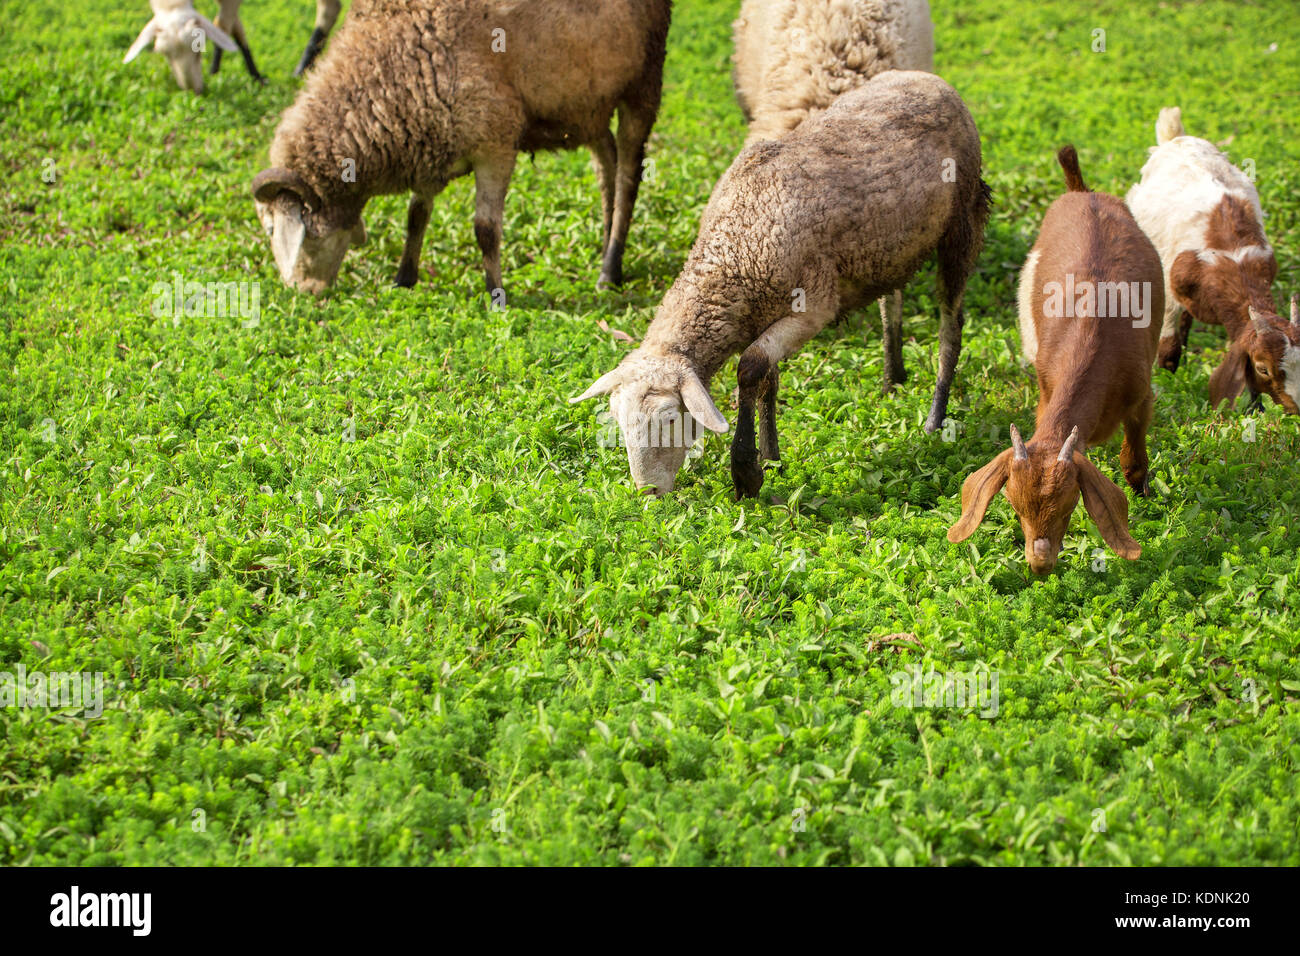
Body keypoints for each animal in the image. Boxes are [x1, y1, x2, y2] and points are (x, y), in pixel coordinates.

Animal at [252, 0, 672, 295]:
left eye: (273, 229)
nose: (302, 292)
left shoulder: (496, 142)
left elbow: (485, 229)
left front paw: (496, 293)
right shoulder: (429, 142)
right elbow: (416, 216)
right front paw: (404, 278)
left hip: (644, 80)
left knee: (628, 173)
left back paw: (610, 269)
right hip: (588, 103)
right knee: (606, 163)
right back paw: (605, 243)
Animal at [572, 71, 989, 498]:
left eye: (671, 419)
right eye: (620, 422)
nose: (648, 494)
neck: (731, 256)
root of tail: (929, 79)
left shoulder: (814, 305)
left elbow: (750, 367)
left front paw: (746, 471)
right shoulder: (764, 312)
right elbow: (768, 378)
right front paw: (771, 454)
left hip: (964, 218)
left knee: (950, 323)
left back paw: (936, 418)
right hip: (894, 248)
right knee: (892, 300)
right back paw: (893, 378)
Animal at [948, 146, 1163, 574]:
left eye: (1069, 506)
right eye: (1014, 506)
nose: (1039, 563)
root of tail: (1082, 193)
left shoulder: (1141, 394)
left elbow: (1134, 460)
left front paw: (1145, 497)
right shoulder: (1045, 389)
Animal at [1126, 106, 1300, 413]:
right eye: (1263, 368)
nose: (1297, 408)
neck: (1233, 261)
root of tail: (1177, 138)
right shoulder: (1169, 288)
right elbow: (1168, 347)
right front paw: (1167, 386)